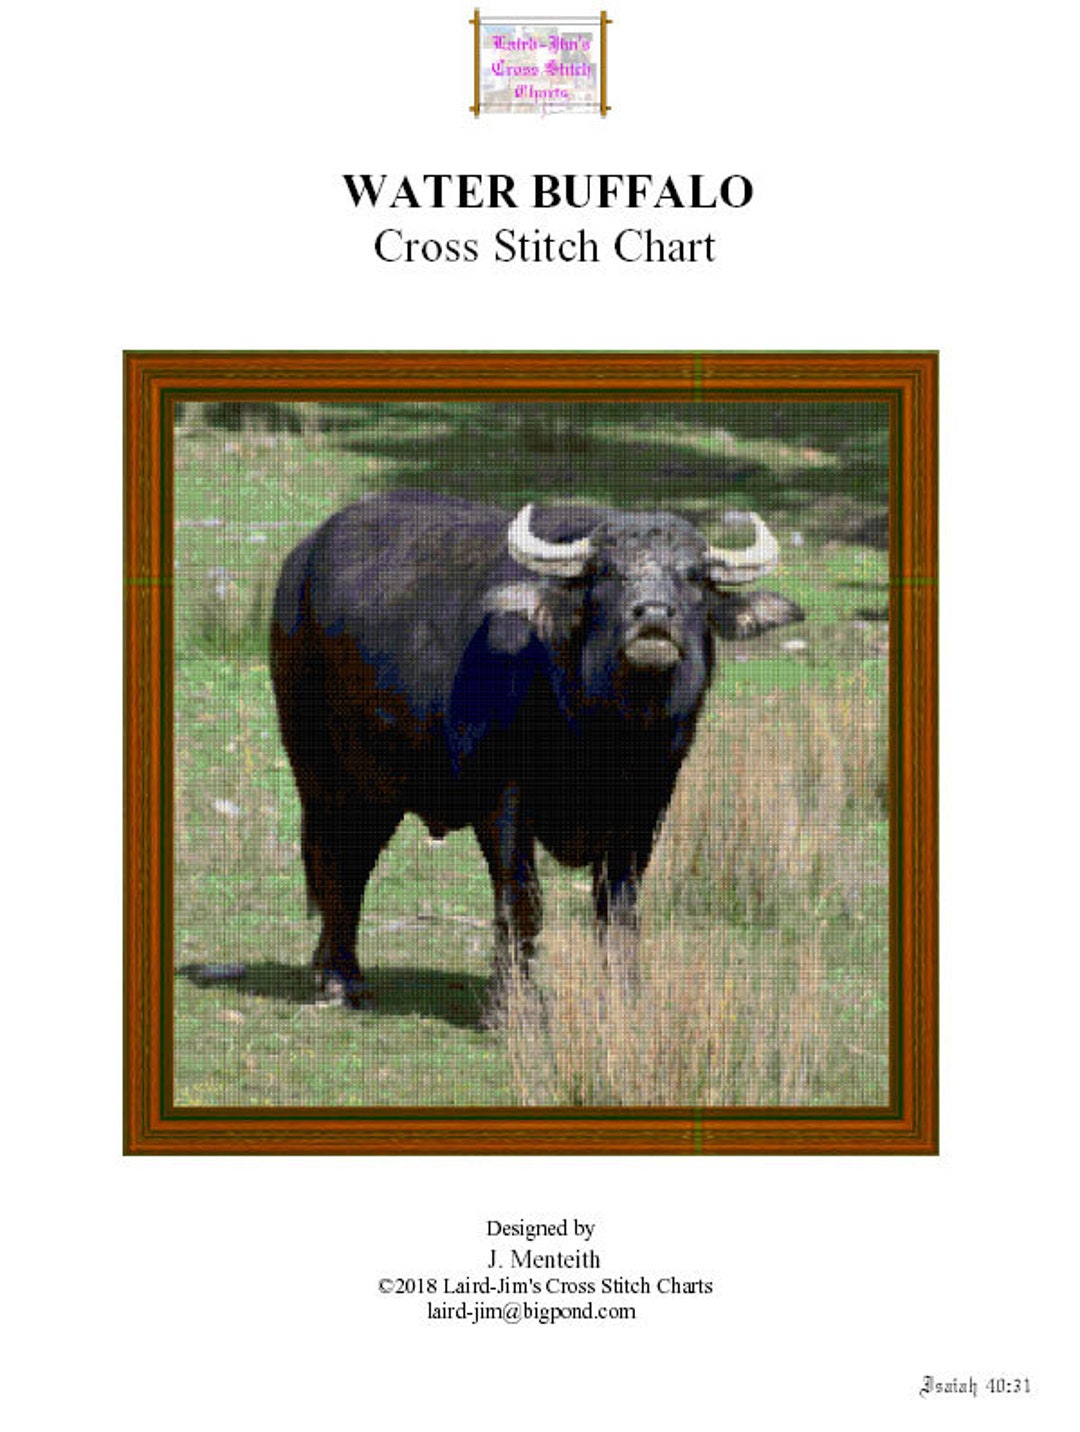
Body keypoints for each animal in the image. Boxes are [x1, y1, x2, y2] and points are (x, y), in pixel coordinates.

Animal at [270, 490, 803, 1017]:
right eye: (606, 571)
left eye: (693, 575)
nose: (653, 616)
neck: (606, 736)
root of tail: (301, 561)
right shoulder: (501, 798)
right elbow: (521, 898)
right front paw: (512, 1004)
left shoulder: (647, 804)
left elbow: (619, 906)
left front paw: (626, 998)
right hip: (321, 771)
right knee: (337, 860)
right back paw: (340, 980)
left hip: (376, 788)